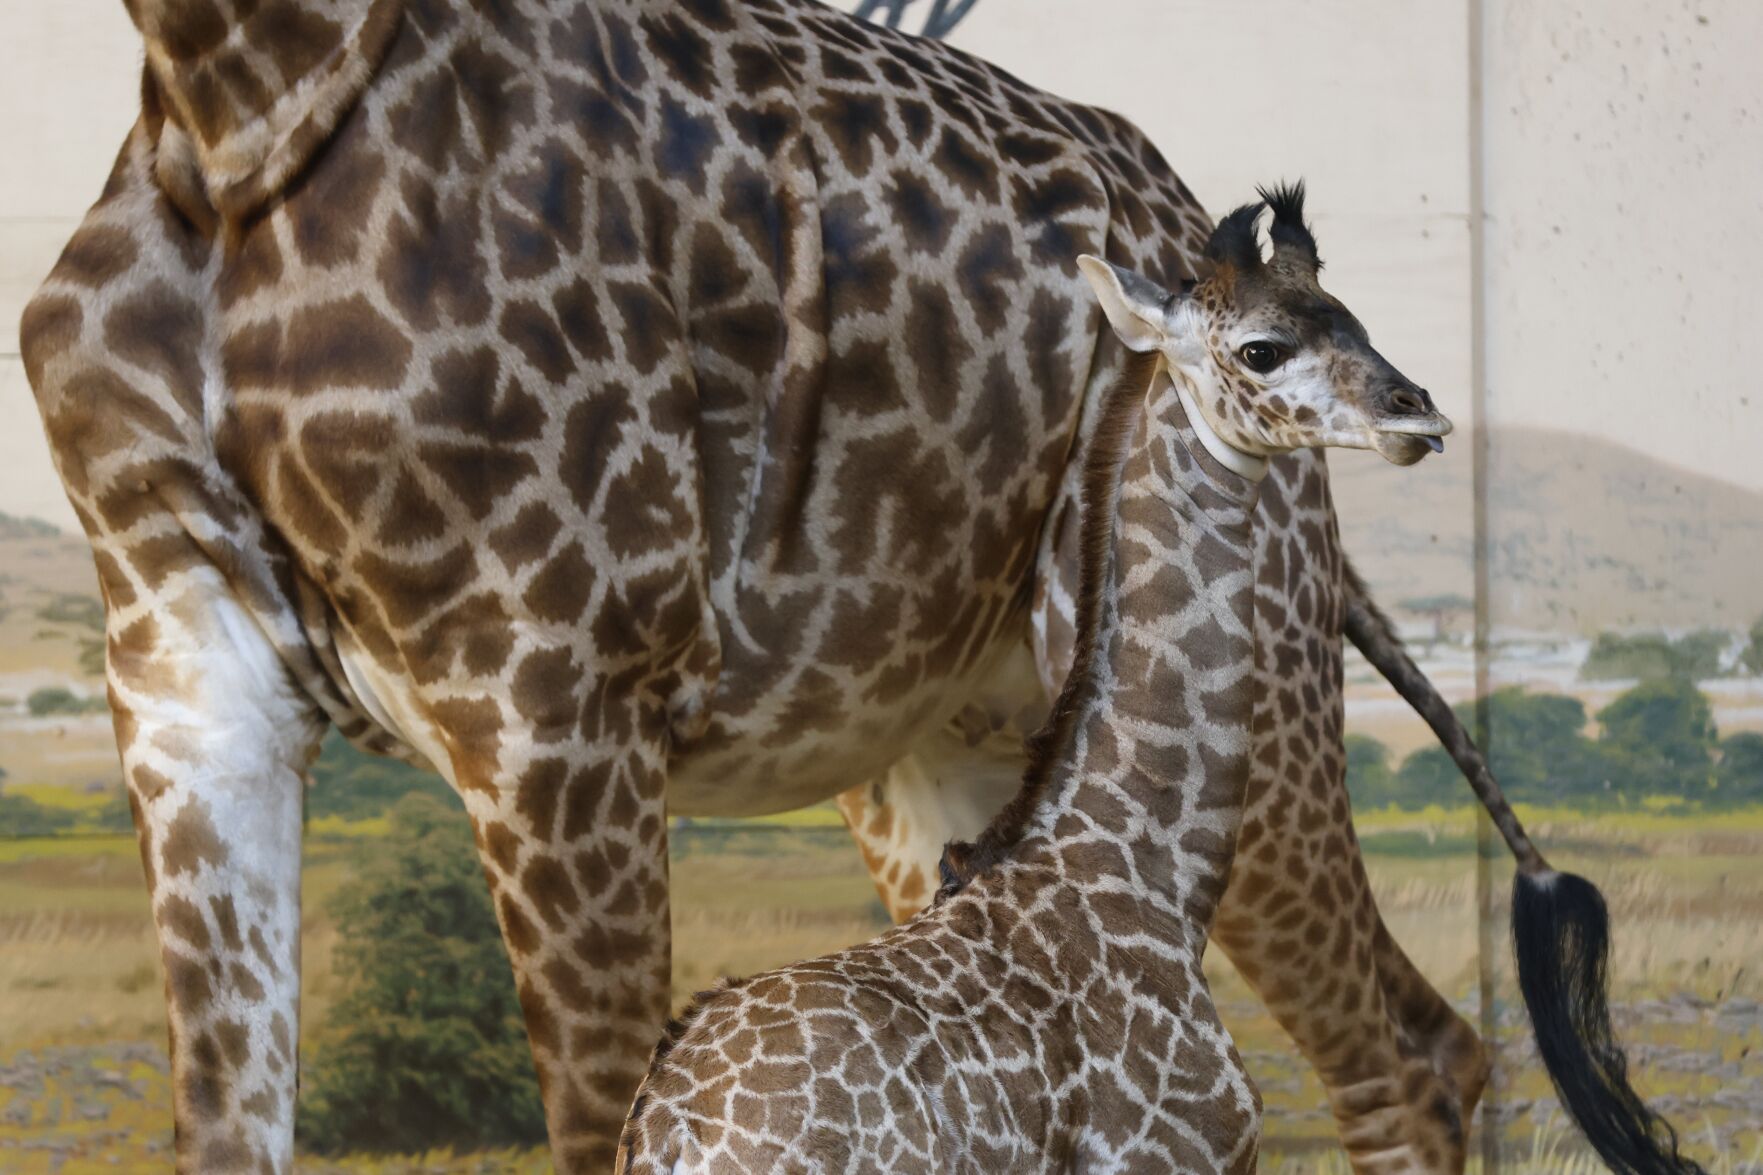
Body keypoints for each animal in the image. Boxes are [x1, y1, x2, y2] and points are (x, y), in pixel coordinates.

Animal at [615, 199, 1451, 1173]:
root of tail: (670, 1125)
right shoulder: (1169, 1158)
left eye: (1350, 317)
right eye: (1260, 349)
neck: (1155, 872)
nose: (1418, 413)